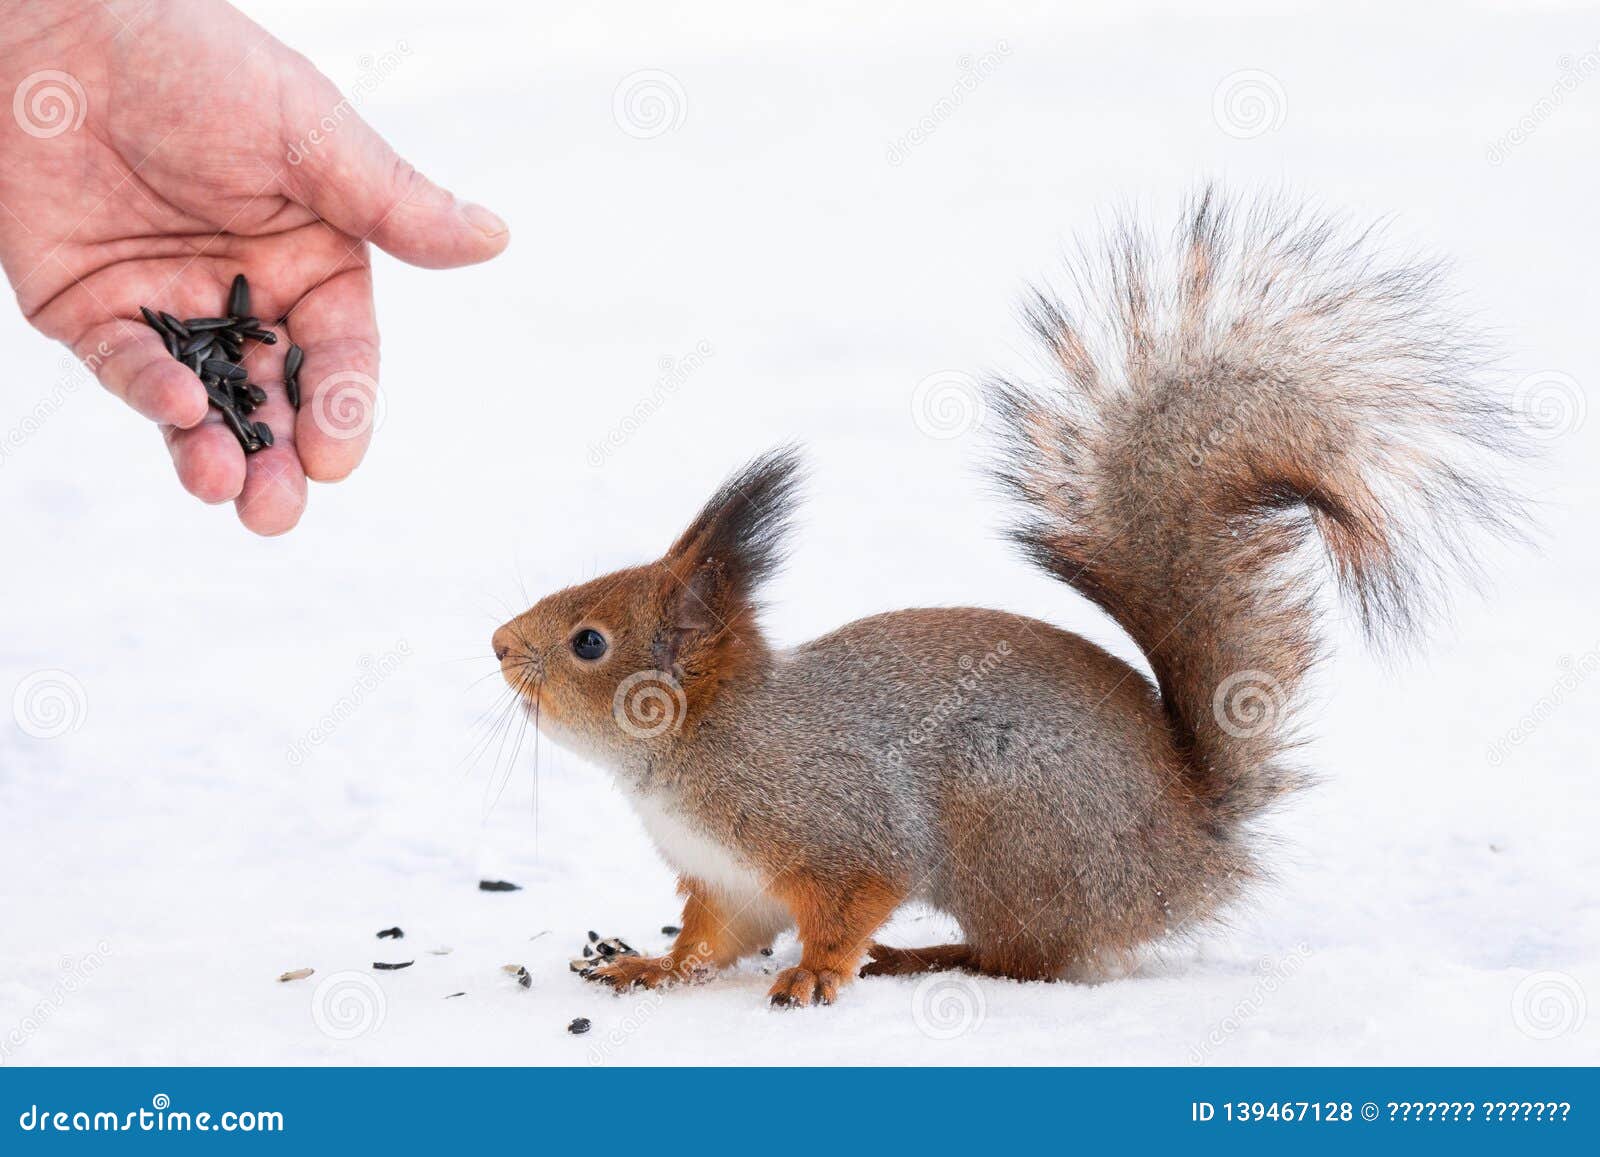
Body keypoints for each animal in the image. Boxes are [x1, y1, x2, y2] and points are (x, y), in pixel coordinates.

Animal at [492, 189, 1524, 1008]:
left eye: (588, 641)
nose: (499, 644)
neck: (700, 746)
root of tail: (1194, 850)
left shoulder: (837, 823)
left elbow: (852, 900)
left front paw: (817, 972)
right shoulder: (726, 879)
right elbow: (713, 940)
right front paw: (651, 967)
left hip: (1011, 835)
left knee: (1030, 959)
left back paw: (928, 956)